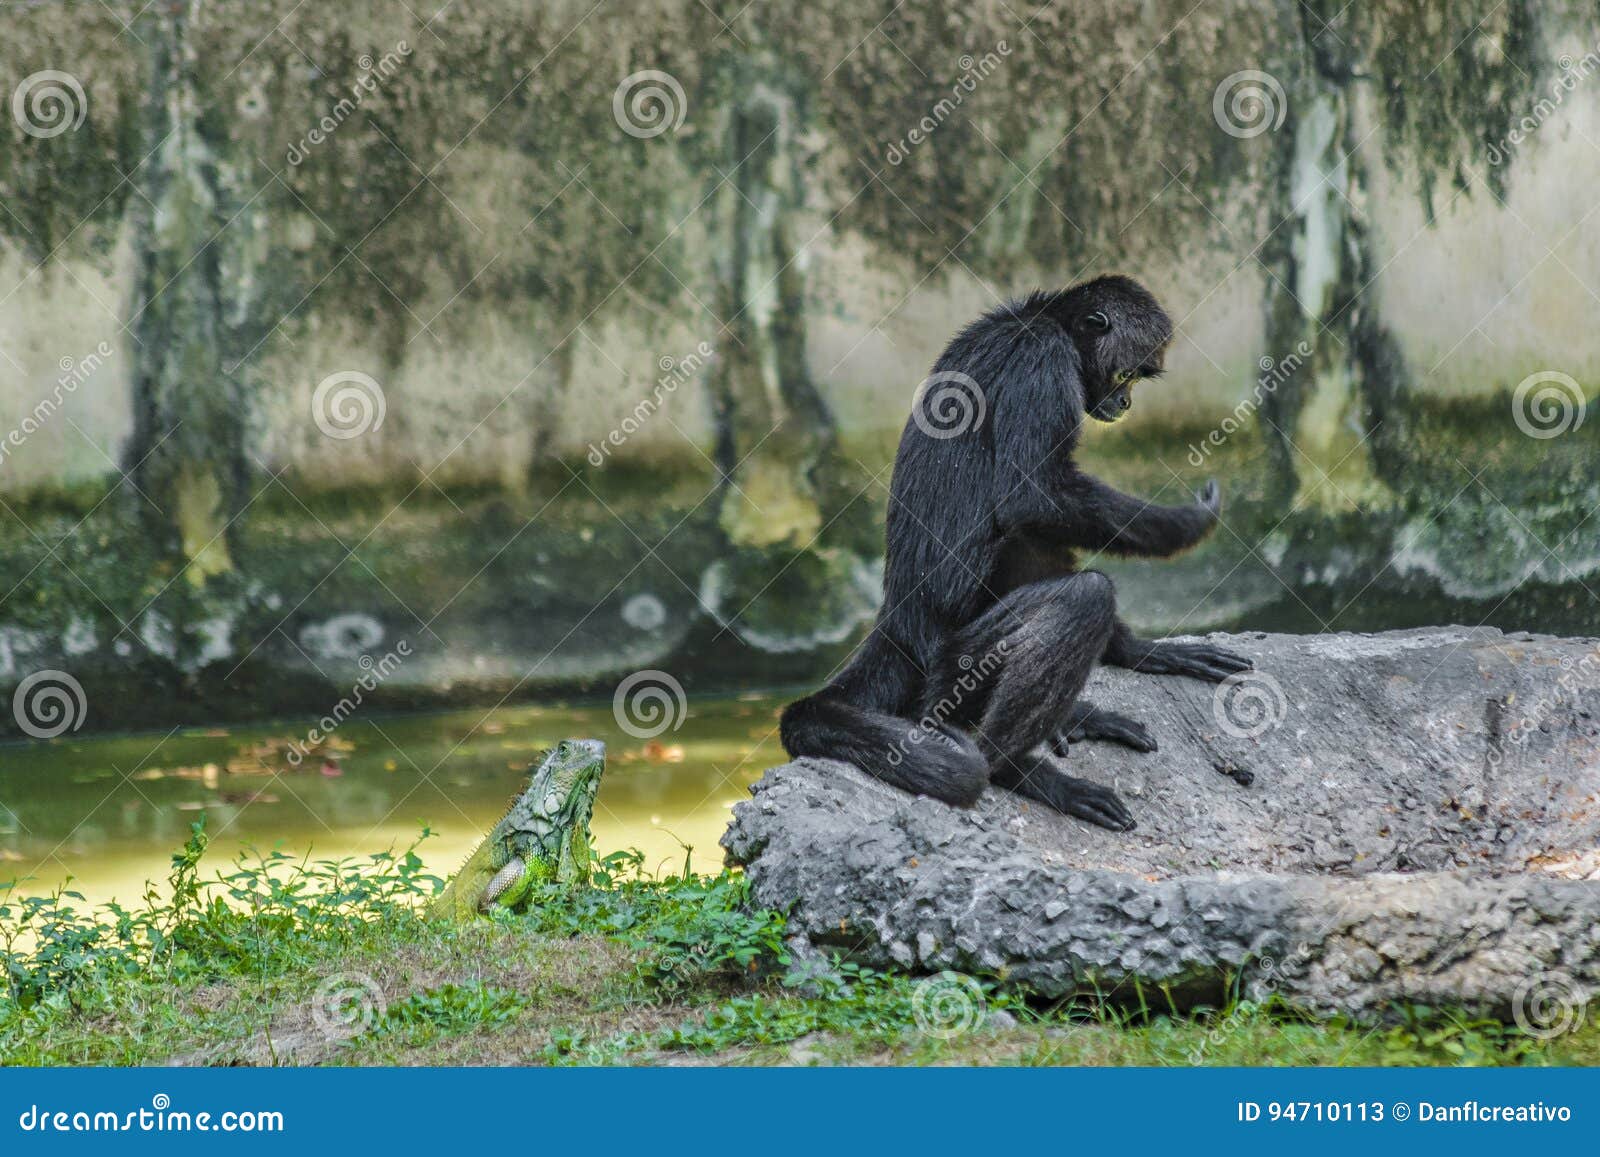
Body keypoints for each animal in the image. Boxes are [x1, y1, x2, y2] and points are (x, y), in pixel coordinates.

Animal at [779, 275, 1253, 832]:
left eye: (1138, 378)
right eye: (1124, 374)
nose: (1125, 402)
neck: (1042, 319)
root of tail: (899, 619)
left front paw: (1145, 651)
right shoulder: (1042, 360)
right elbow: (1032, 495)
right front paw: (1181, 525)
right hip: (956, 660)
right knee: (1078, 588)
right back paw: (1017, 770)